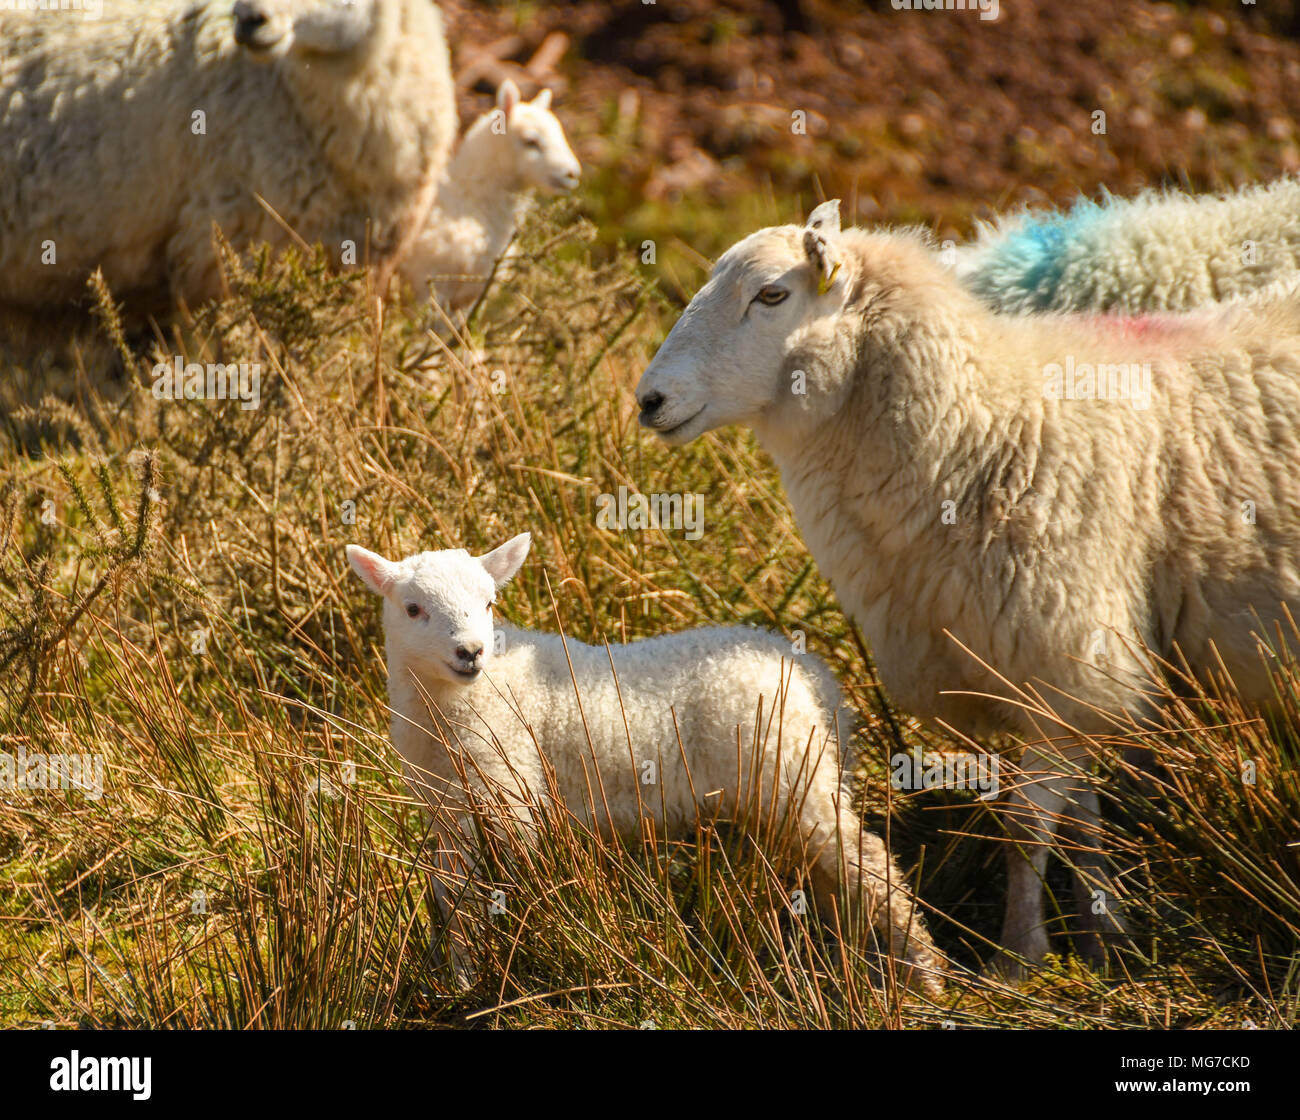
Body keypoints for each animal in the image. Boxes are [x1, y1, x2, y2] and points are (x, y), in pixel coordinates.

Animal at [346, 534, 945, 995]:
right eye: (413, 609)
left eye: (490, 602)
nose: (470, 651)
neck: (459, 703)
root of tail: (819, 680)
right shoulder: (447, 809)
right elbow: (453, 896)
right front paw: (462, 979)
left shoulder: (511, 792)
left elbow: (506, 885)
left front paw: (513, 961)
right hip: (789, 782)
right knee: (832, 873)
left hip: (794, 770)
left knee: (869, 861)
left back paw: (925, 975)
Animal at [635, 200, 1300, 977]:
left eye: (772, 295)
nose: (649, 400)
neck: (991, 425)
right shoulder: (1062, 666)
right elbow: (1082, 814)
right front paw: (1103, 933)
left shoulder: (1063, 645)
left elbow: (1028, 822)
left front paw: (1021, 954)